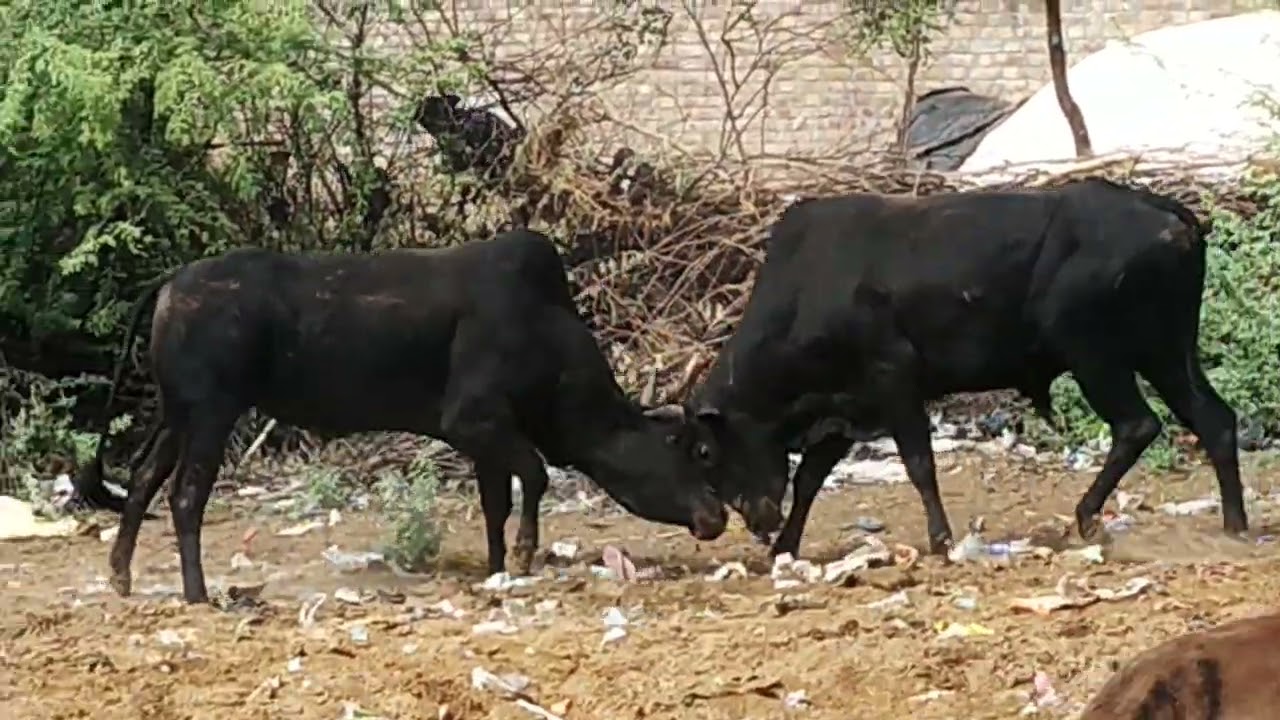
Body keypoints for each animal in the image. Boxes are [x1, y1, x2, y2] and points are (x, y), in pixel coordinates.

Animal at [71, 229, 728, 604]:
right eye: (687, 448)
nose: (717, 515)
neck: (544, 330)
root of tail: (172, 283)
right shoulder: (475, 420)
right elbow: (536, 475)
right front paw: (522, 555)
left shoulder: (484, 441)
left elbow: (496, 503)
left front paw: (497, 568)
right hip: (211, 413)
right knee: (184, 499)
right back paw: (198, 595)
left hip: (177, 415)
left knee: (141, 483)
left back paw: (121, 575)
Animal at [645, 178, 1245, 559]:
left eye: (704, 451)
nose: (750, 520)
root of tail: (1169, 214)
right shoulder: (848, 407)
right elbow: (811, 476)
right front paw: (787, 546)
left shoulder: (894, 383)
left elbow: (919, 465)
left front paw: (940, 540)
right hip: (1167, 352)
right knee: (1214, 420)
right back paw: (1234, 524)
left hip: (1096, 355)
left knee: (1137, 425)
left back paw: (1086, 515)